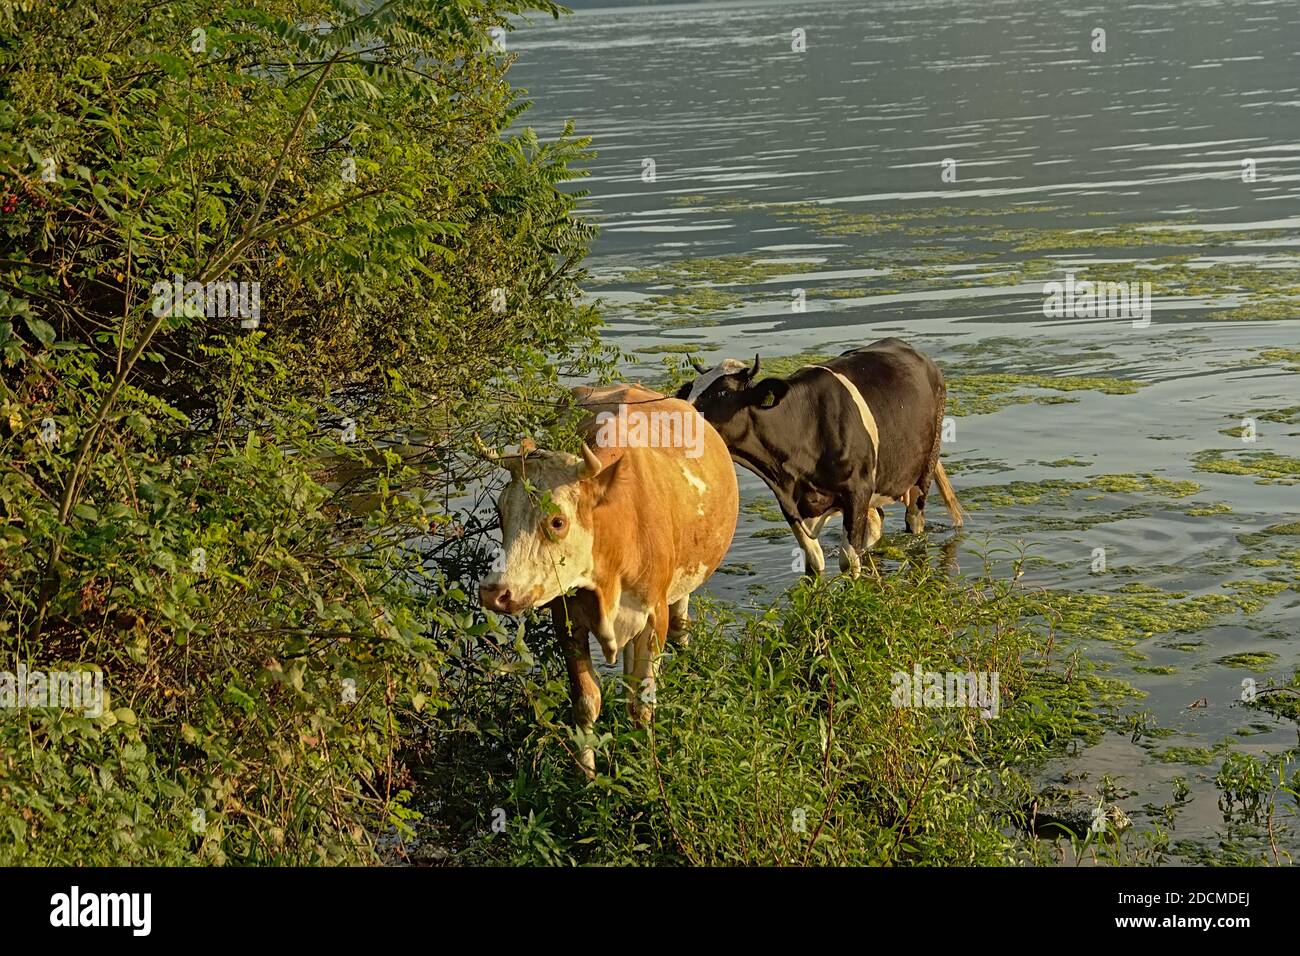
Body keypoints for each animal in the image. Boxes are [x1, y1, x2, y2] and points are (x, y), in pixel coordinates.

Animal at [478, 383, 739, 775]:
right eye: (499, 511)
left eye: (557, 521)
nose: (495, 591)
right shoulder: (567, 619)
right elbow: (587, 701)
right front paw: (587, 776)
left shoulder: (654, 615)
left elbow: (642, 702)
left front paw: (646, 768)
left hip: (681, 590)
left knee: (680, 626)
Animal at [674, 337, 962, 577]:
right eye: (689, 389)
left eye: (723, 392)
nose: (678, 415)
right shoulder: (789, 501)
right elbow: (814, 561)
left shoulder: (857, 491)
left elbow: (848, 560)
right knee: (876, 523)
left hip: (925, 467)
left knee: (915, 520)